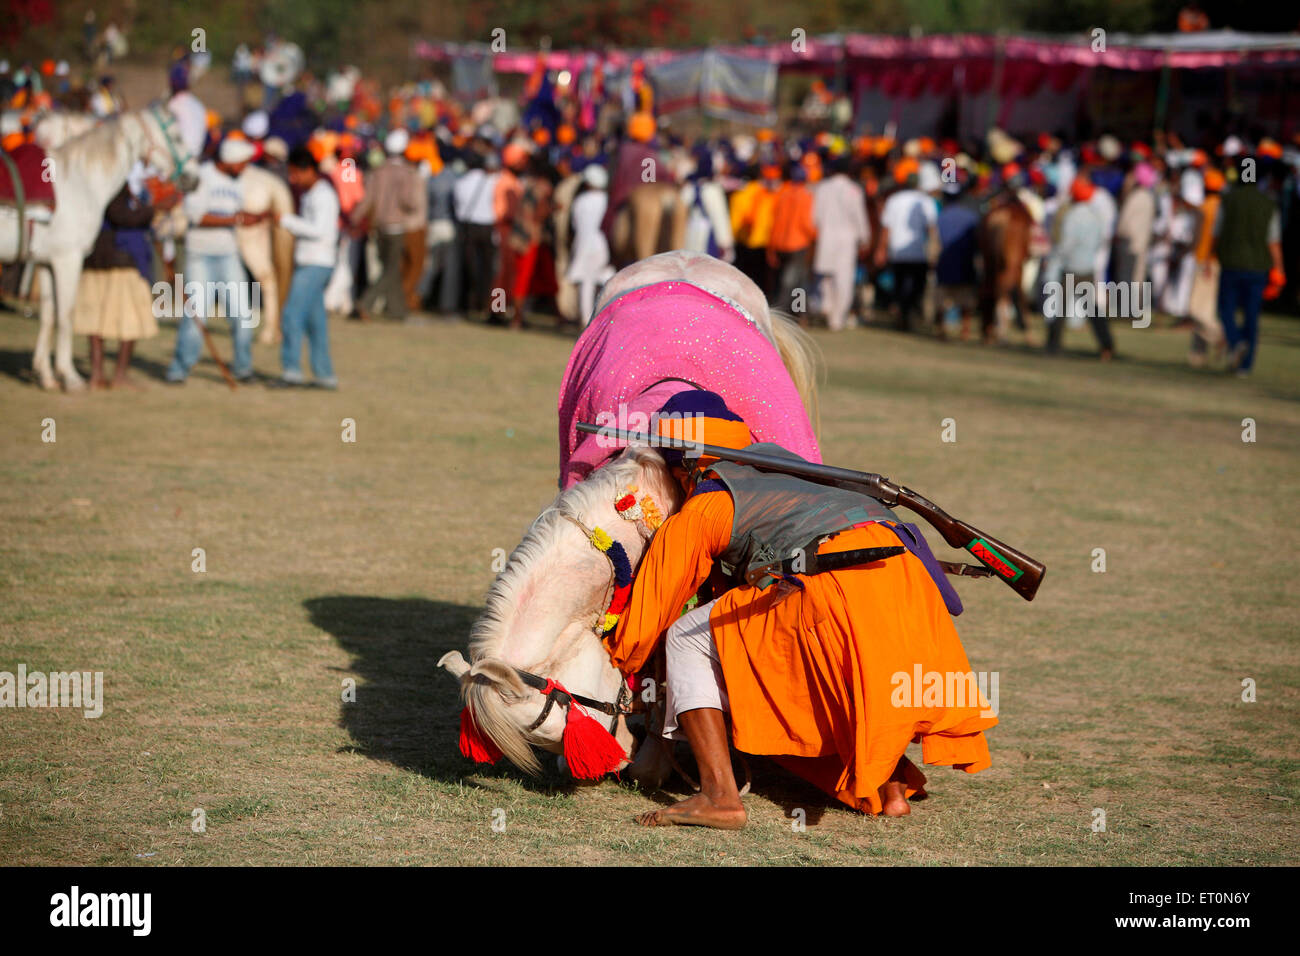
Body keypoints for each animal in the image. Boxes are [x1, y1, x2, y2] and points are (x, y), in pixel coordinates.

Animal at [0, 107, 199, 390]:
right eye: (177, 136)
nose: (194, 178)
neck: (77, 184)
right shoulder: (68, 260)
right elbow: (67, 315)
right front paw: (70, 377)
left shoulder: (45, 261)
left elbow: (49, 316)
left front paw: (47, 375)